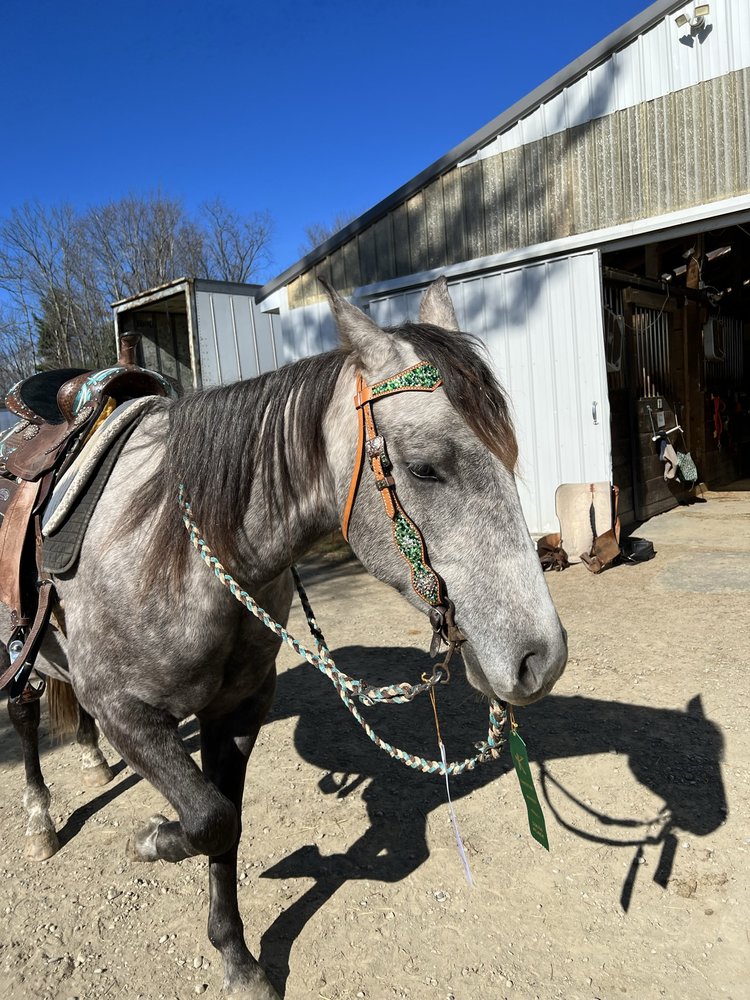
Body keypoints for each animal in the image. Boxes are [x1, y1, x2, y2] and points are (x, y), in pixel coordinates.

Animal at [5, 277, 568, 999]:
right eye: (424, 469)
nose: (541, 658)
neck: (177, 549)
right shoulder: (125, 711)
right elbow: (208, 817)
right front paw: (151, 839)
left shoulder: (239, 709)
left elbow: (225, 823)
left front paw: (236, 956)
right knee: (23, 715)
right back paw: (40, 819)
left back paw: (92, 762)